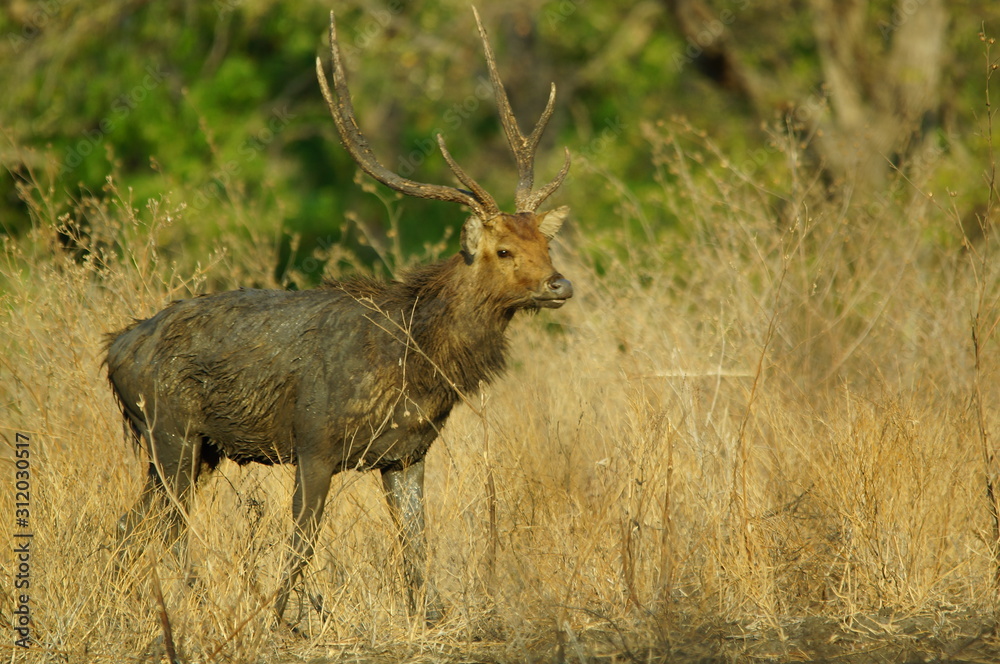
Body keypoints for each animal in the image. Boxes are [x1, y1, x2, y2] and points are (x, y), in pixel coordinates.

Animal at [105, 8, 572, 624]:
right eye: (503, 250)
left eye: (546, 242)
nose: (560, 283)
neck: (413, 365)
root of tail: (113, 351)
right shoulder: (313, 442)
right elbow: (301, 545)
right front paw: (279, 621)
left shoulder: (407, 455)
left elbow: (416, 549)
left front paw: (431, 617)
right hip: (169, 430)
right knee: (169, 531)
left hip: (195, 449)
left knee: (127, 528)